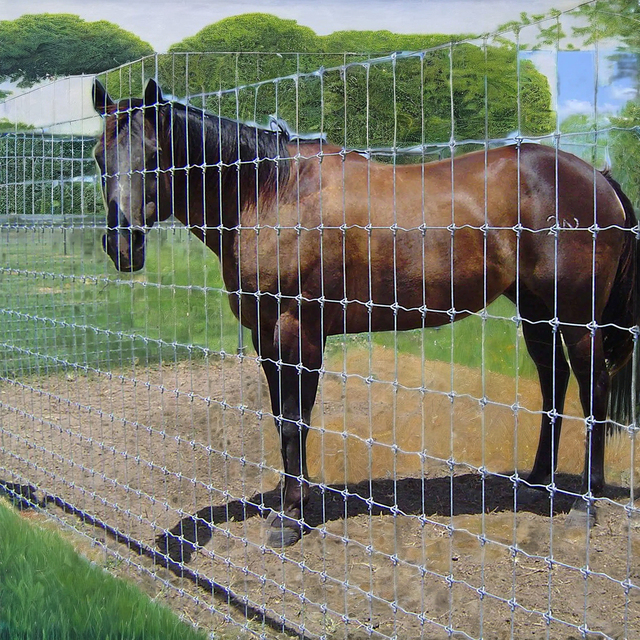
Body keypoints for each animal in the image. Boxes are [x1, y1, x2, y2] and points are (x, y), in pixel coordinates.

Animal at [92, 78, 638, 548]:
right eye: (99, 157)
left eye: (155, 157)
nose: (121, 245)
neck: (271, 192)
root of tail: (598, 178)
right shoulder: (265, 336)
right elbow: (281, 419)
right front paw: (291, 503)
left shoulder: (300, 331)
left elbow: (295, 421)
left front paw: (290, 517)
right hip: (536, 311)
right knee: (554, 382)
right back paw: (538, 481)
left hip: (577, 318)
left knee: (592, 391)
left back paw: (584, 504)